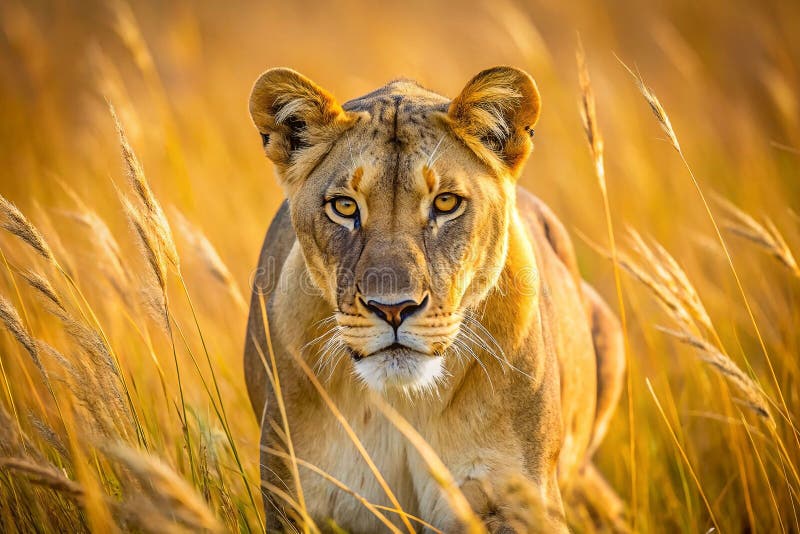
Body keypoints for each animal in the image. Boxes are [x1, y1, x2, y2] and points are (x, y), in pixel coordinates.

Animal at [244, 66, 626, 533]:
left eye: (445, 203)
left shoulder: (522, 497)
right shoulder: (293, 498)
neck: (404, 401)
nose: (393, 309)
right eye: (344, 206)